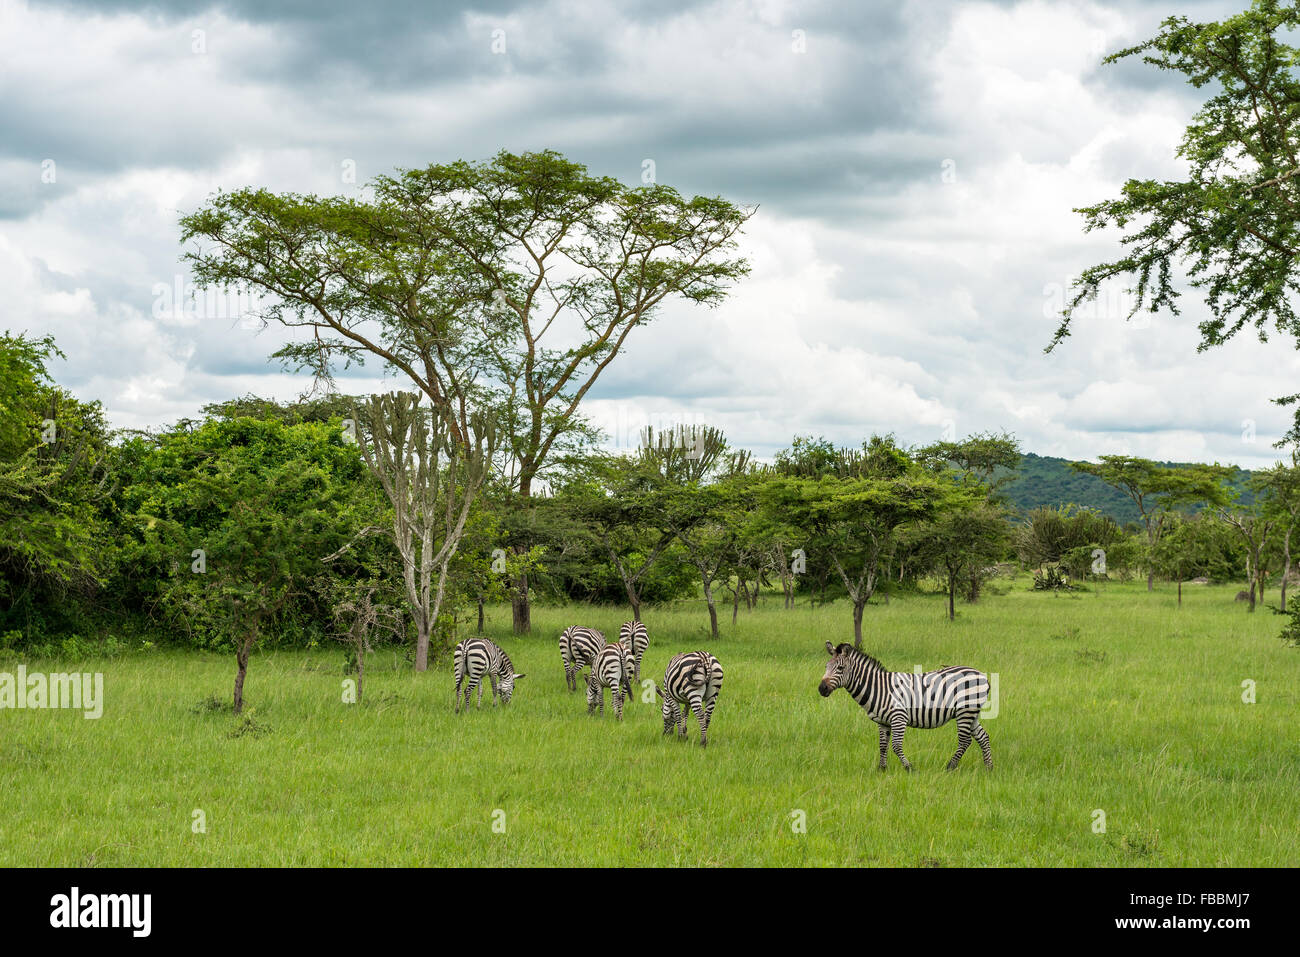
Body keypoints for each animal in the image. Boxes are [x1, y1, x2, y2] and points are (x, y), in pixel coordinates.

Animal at [817, 641, 992, 771]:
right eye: (826, 666)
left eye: (840, 668)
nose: (821, 689)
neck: (878, 688)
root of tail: (981, 675)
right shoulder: (883, 722)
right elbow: (883, 746)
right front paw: (882, 769)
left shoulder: (899, 717)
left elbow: (895, 746)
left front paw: (909, 768)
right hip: (972, 713)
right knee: (983, 737)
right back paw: (989, 767)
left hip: (965, 711)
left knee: (965, 740)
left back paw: (950, 766)